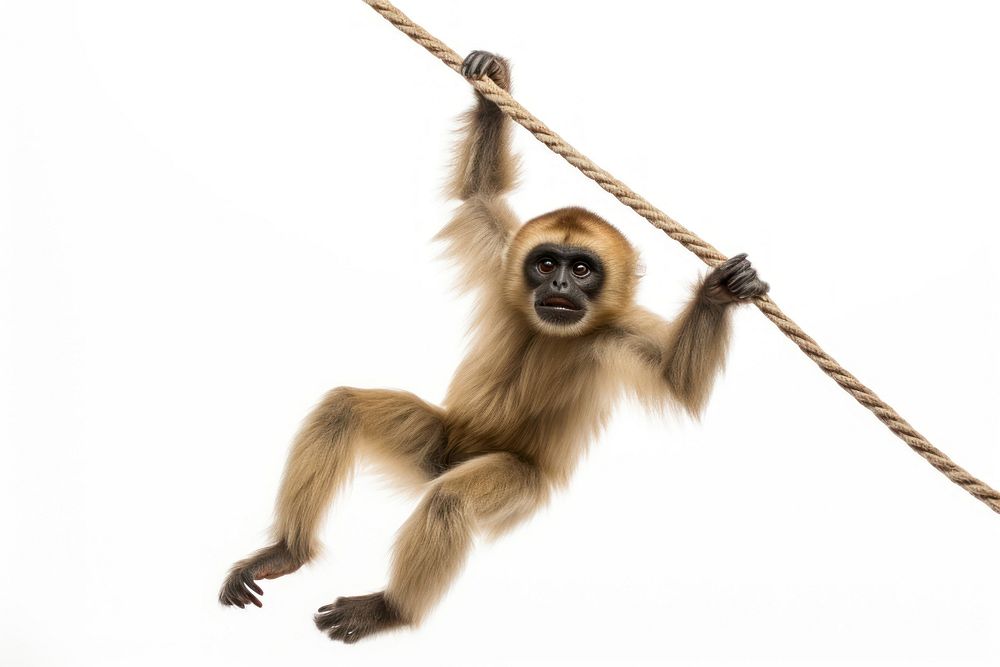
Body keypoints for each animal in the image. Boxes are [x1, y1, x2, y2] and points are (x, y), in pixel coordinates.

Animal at [218, 50, 768, 644]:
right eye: (547, 264)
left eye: (582, 270)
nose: (559, 286)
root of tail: (455, 457)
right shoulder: (508, 254)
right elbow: (479, 195)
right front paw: (491, 88)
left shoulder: (616, 333)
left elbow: (676, 379)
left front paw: (718, 294)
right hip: (440, 443)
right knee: (342, 409)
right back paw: (286, 552)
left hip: (518, 481)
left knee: (449, 499)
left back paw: (391, 609)